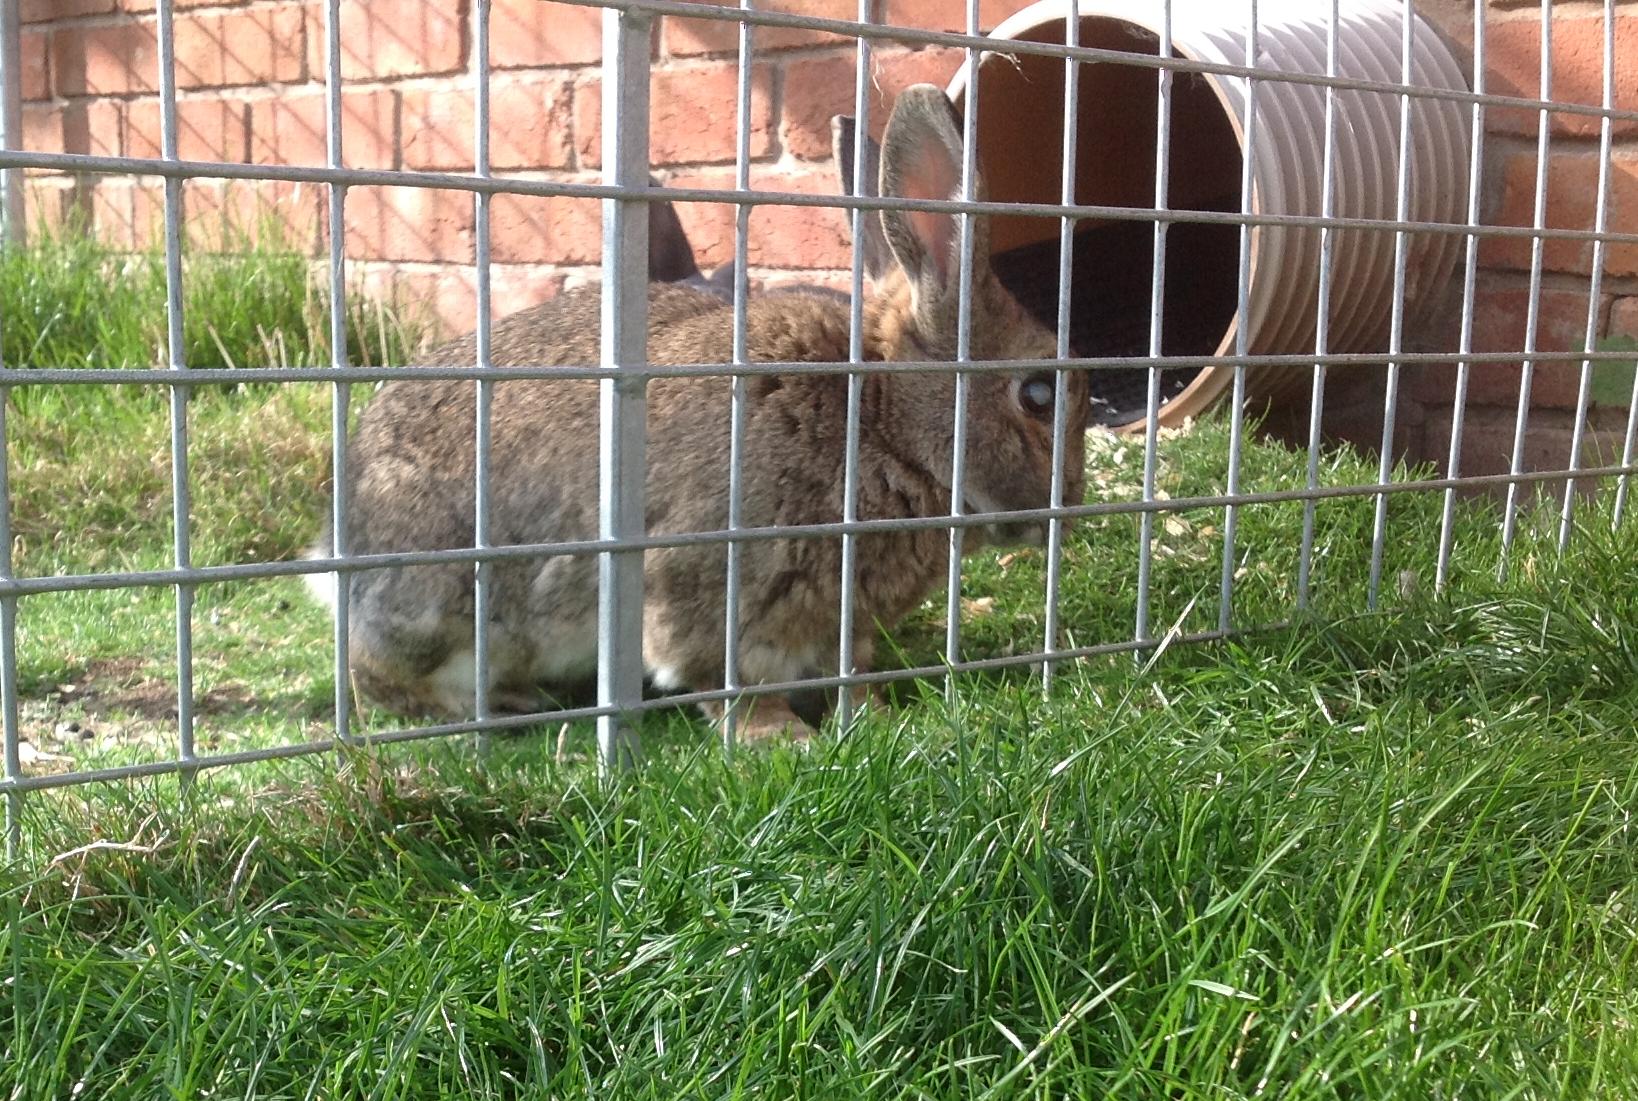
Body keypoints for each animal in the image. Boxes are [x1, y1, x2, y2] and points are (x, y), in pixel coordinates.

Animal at [308, 84, 1090, 739]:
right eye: (1039, 395)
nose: (1070, 504)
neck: (882, 422)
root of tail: (341, 543)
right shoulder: (700, 586)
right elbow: (722, 677)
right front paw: (780, 736)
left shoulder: (839, 622)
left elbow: (851, 670)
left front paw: (872, 715)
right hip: (441, 606)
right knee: (380, 678)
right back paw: (504, 705)